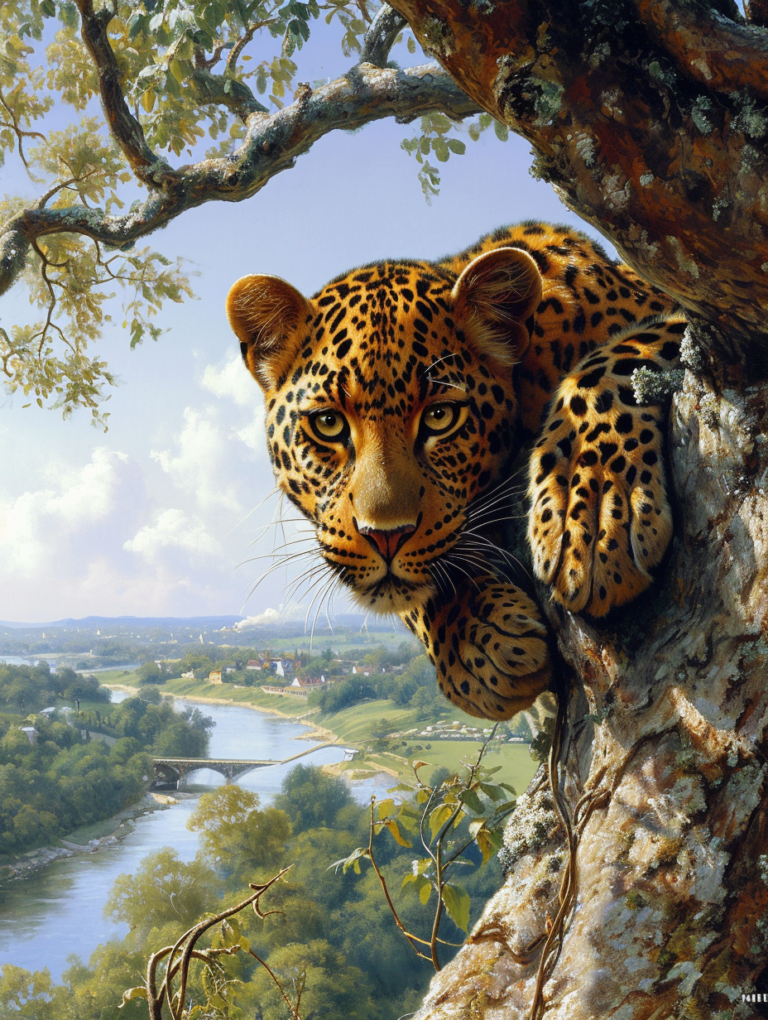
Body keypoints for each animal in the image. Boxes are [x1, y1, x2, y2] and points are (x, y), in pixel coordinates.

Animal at [226, 223, 684, 721]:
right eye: (328, 423)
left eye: (440, 417)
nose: (385, 537)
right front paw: (475, 639)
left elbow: (624, 356)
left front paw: (594, 517)